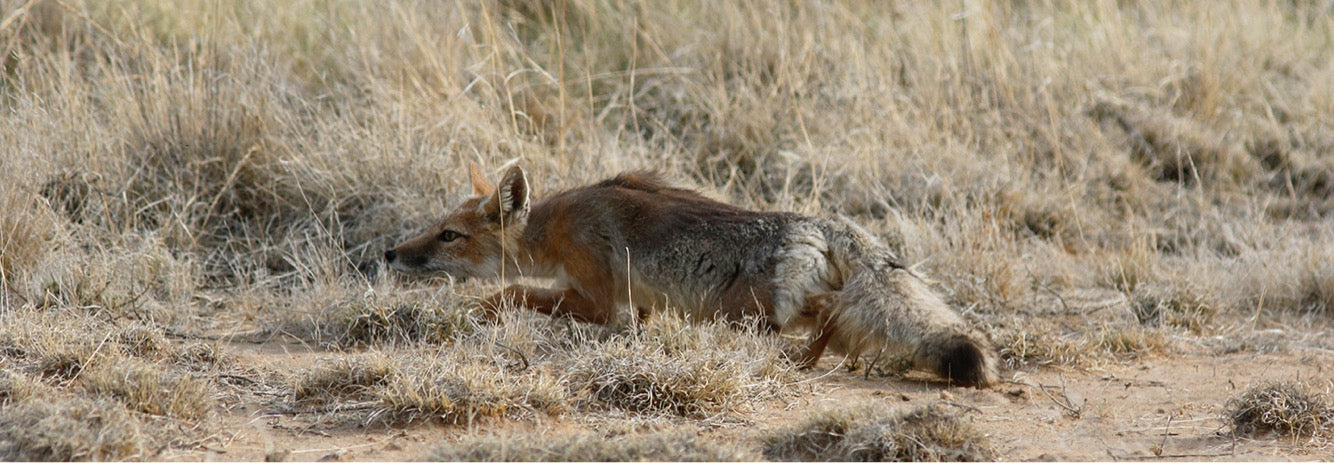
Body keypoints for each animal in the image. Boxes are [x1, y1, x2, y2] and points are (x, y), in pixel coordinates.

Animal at [385, 164, 999, 387]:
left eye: (448, 236)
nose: (391, 252)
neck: (557, 225)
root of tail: (820, 221)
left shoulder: (599, 299)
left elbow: (512, 290)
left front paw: (480, 310)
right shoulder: (638, 301)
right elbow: (640, 324)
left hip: (748, 314)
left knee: (832, 311)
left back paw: (805, 361)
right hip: (754, 314)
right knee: (839, 312)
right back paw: (824, 359)